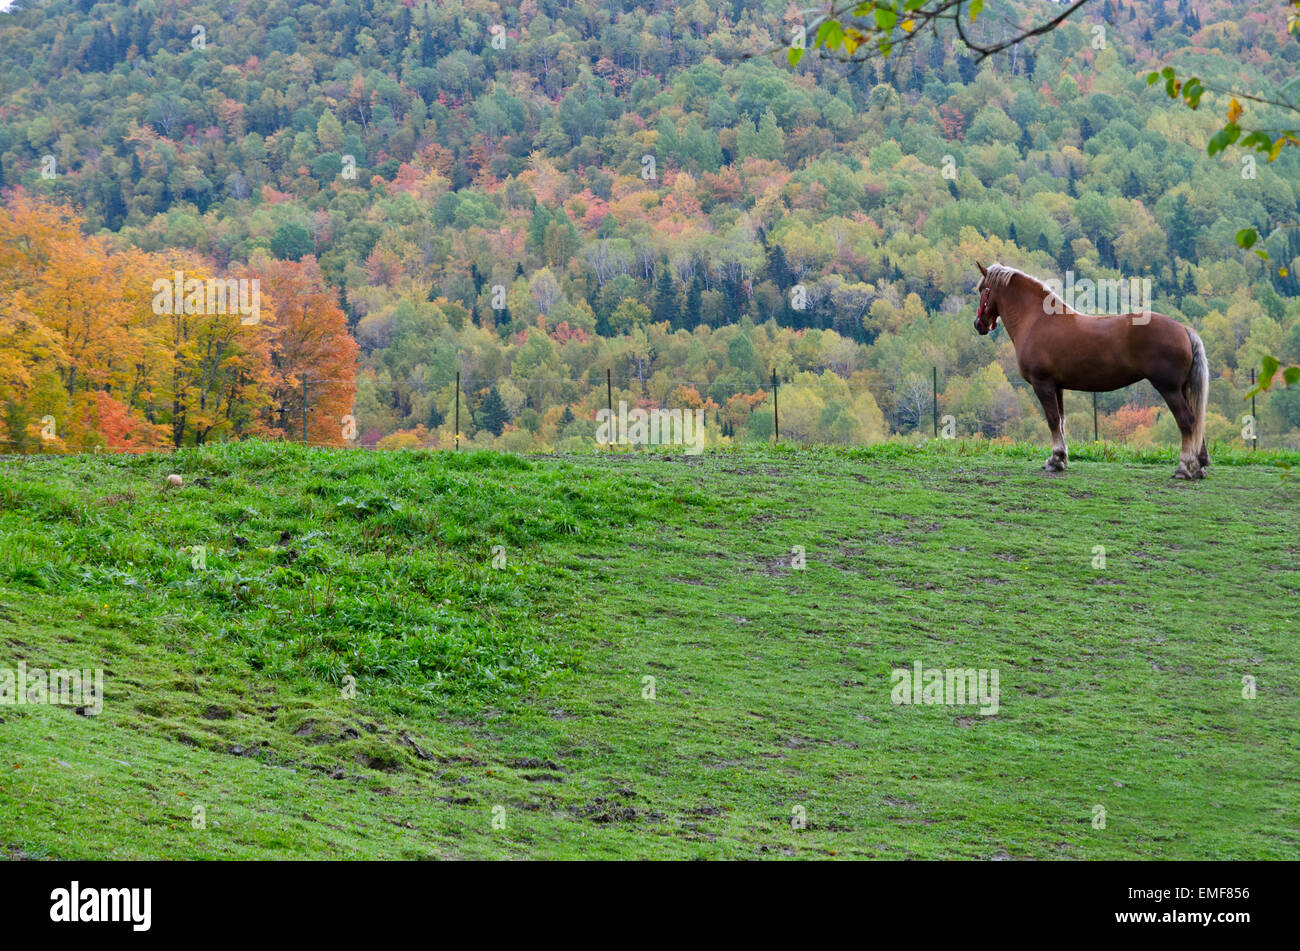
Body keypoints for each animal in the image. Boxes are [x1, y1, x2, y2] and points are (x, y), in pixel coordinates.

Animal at [973, 262, 1209, 479]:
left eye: (982, 288)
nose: (978, 324)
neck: (1037, 320)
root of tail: (1184, 329)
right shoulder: (1057, 387)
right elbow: (1061, 421)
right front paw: (1060, 458)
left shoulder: (1043, 384)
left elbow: (1052, 420)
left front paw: (1055, 460)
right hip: (1183, 389)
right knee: (1197, 420)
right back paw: (1199, 466)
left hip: (1169, 389)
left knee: (1187, 421)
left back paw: (1183, 467)